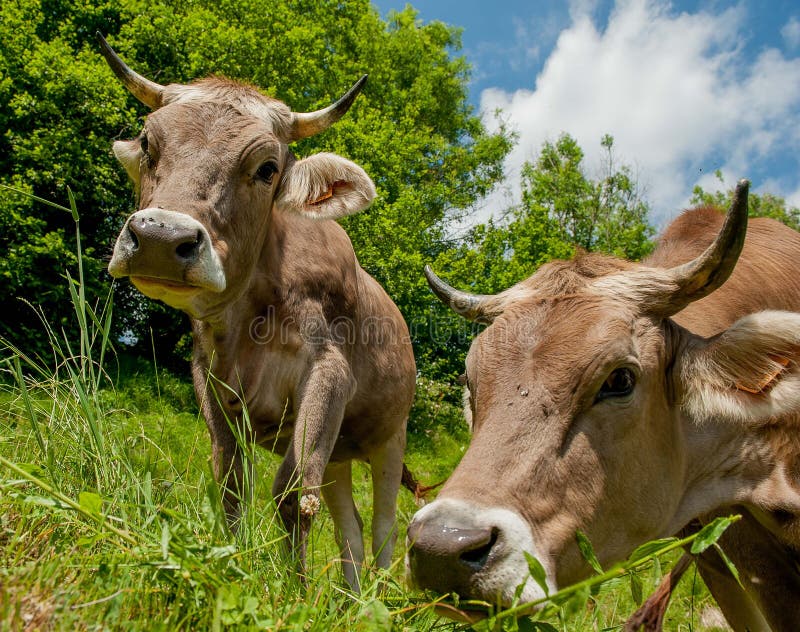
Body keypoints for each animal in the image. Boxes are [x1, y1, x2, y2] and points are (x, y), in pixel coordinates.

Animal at [97, 34, 416, 590]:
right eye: (148, 143)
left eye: (267, 169)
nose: (160, 238)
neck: (247, 327)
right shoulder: (208, 376)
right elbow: (230, 480)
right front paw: (232, 563)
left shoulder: (329, 373)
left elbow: (290, 494)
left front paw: (295, 591)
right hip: (339, 453)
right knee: (349, 526)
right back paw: (351, 598)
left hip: (389, 438)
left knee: (382, 527)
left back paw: (376, 593)